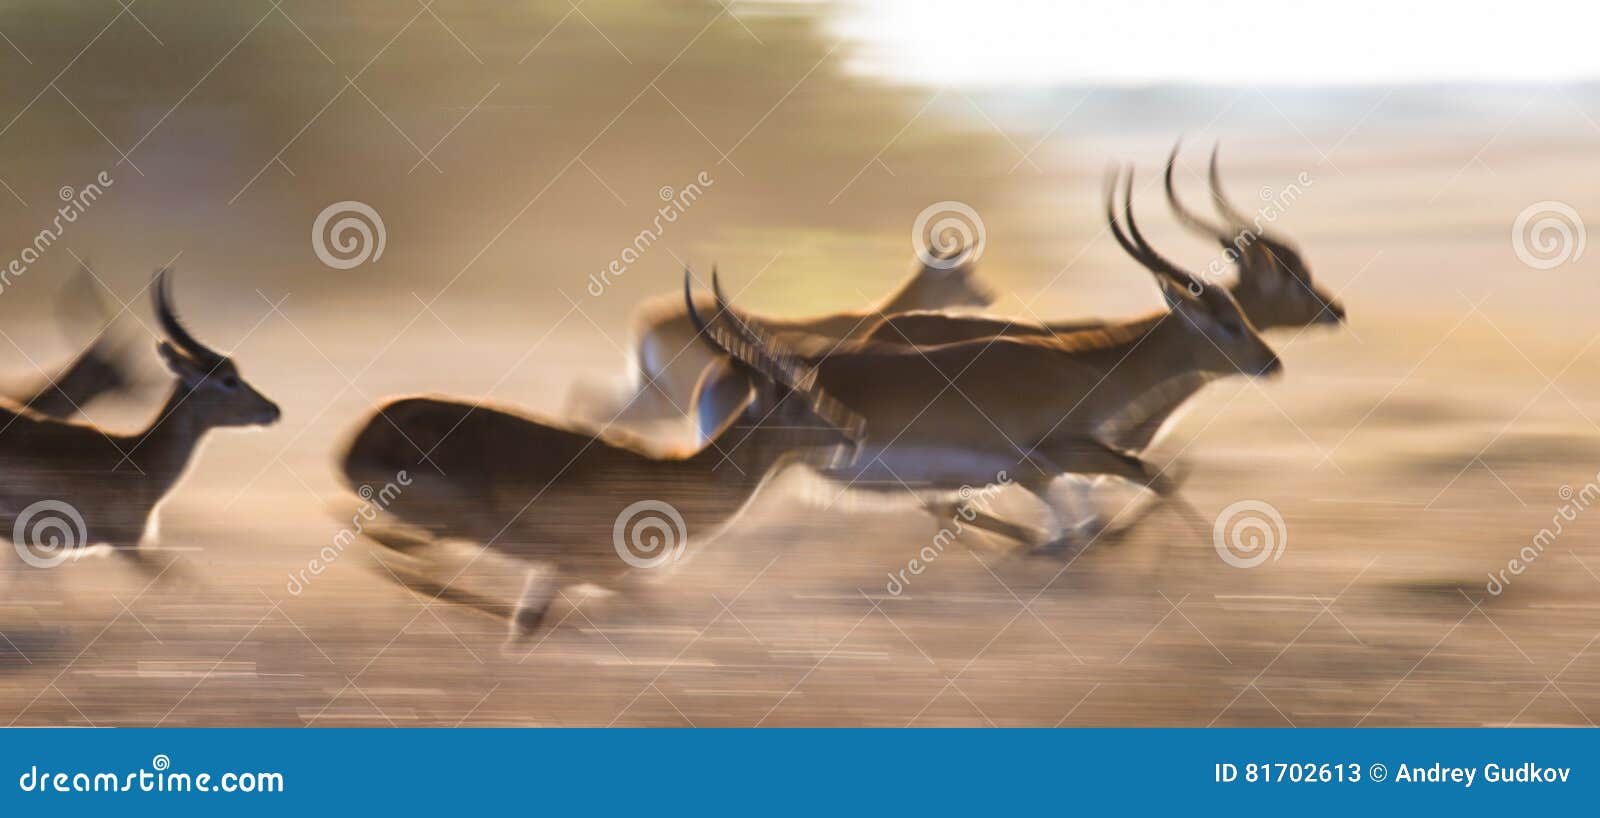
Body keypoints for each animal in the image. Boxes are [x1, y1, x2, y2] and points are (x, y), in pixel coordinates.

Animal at [337, 275, 864, 642]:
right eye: (798, 400)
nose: (851, 432)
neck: (673, 479)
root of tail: (360, 439)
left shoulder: (564, 575)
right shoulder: (597, 573)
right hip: (456, 520)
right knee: (395, 557)